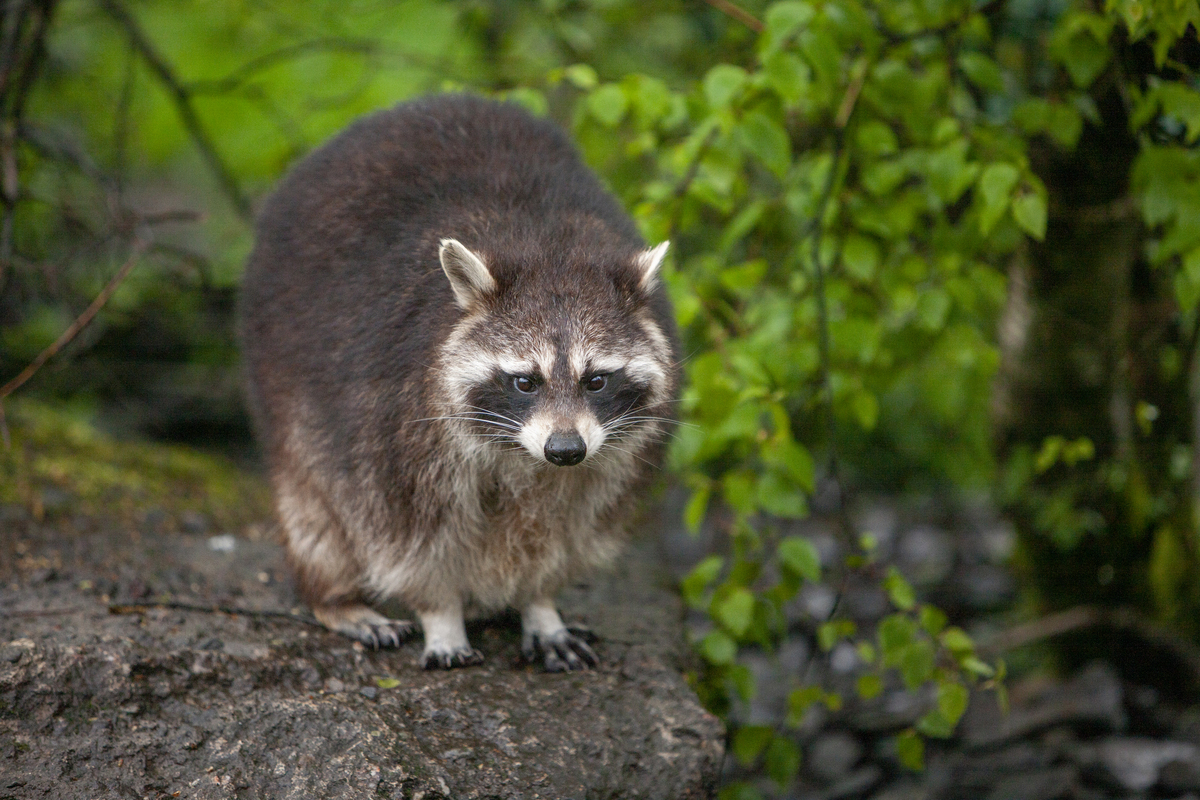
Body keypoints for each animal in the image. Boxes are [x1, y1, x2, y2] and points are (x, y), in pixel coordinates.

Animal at [240, 94, 679, 671]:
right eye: (525, 382)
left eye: (597, 381)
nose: (564, 450)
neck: (553, 253)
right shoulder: (394, 415)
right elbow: (406, 534)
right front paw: (440, 613)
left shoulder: (615, 457)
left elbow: (570, 524)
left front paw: (540, 602)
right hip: (281, 369)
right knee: (313, 506)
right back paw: (334, 597)